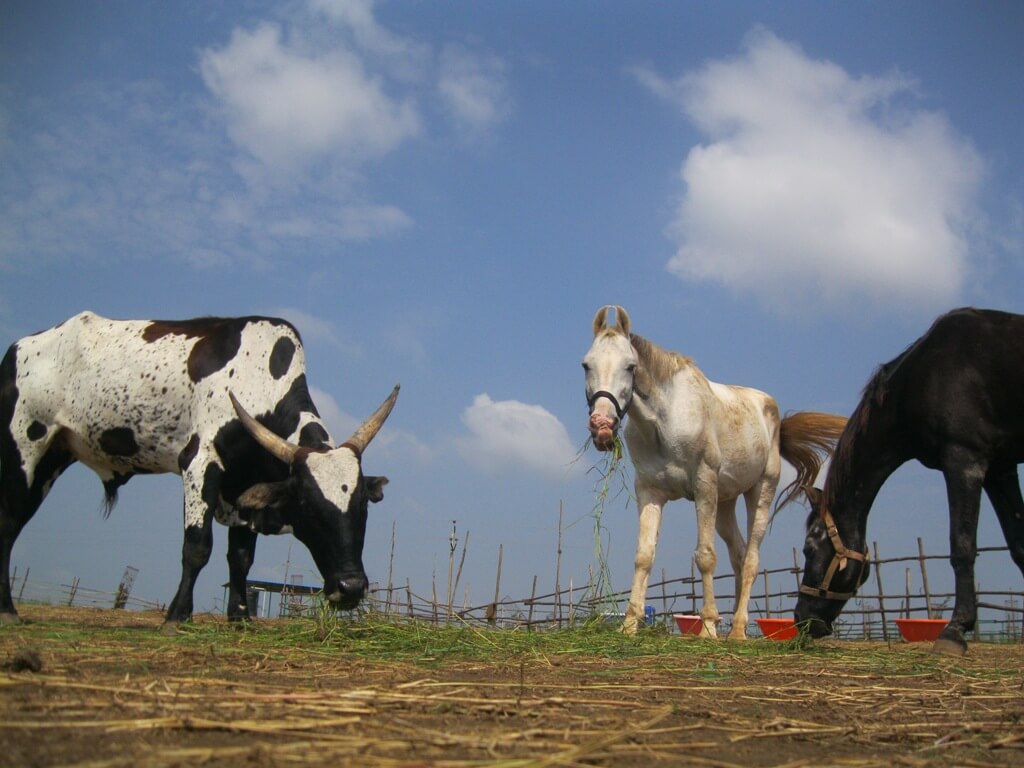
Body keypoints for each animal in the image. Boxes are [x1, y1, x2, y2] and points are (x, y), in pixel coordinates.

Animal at [583, 306, 847, 637]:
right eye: (586, 365)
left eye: (630, 367)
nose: (602, 427)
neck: (665, 420)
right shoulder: (649, 492)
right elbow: (643, 556)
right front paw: (629, 625)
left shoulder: (704, 485)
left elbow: (705, 556)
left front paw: (708, 626)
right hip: (725, 505)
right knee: (738, 555)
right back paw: (737, 629)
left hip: (759, 493)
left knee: (751, 559)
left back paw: (737, 628)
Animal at [794, 307, 1024, 654]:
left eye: (809, 549)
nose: (801, 618)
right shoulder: (1001, 468)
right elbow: (1019, 546)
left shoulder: (964, 458)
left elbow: (962, 546)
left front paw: (955, 631)